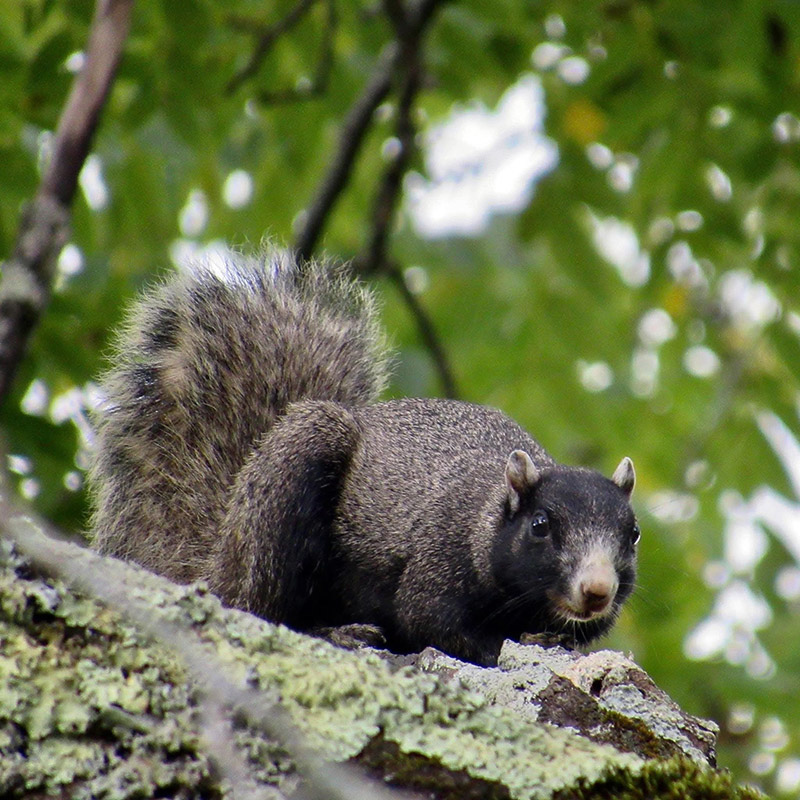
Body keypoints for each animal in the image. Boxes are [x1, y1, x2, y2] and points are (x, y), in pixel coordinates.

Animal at [90, 249, 639, 666]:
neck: (484, 514)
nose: (597, 590)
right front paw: (504, 646)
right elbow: (437, 626)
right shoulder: (435, 566)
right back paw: (332, 631)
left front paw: (554, 640)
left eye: (632, 534)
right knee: (262, 608)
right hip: (289, 485)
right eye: (540, 526)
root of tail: (220, 558)